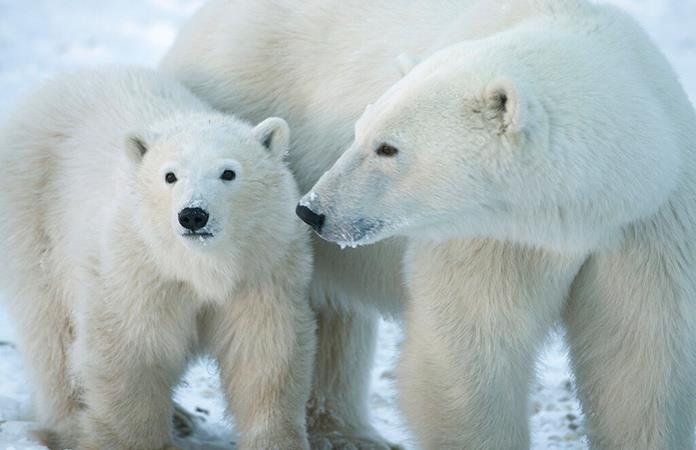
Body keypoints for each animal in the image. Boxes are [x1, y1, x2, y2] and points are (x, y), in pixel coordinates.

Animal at [0, 67, 315, 450]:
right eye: (170, 175)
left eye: (228, 172)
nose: (193, 215)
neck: (197, 265)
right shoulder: (138, 270)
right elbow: (129, 354)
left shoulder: (261, 268)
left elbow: (263, 354)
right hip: (33, 217)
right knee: (50, 334)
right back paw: (68, 425)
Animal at [295, 1, 696, 449]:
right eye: (358, 131)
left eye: (387, 147)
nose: (312, 210)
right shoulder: (490, 235)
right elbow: (474, 353)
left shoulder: (647, 228)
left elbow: (638, 363)